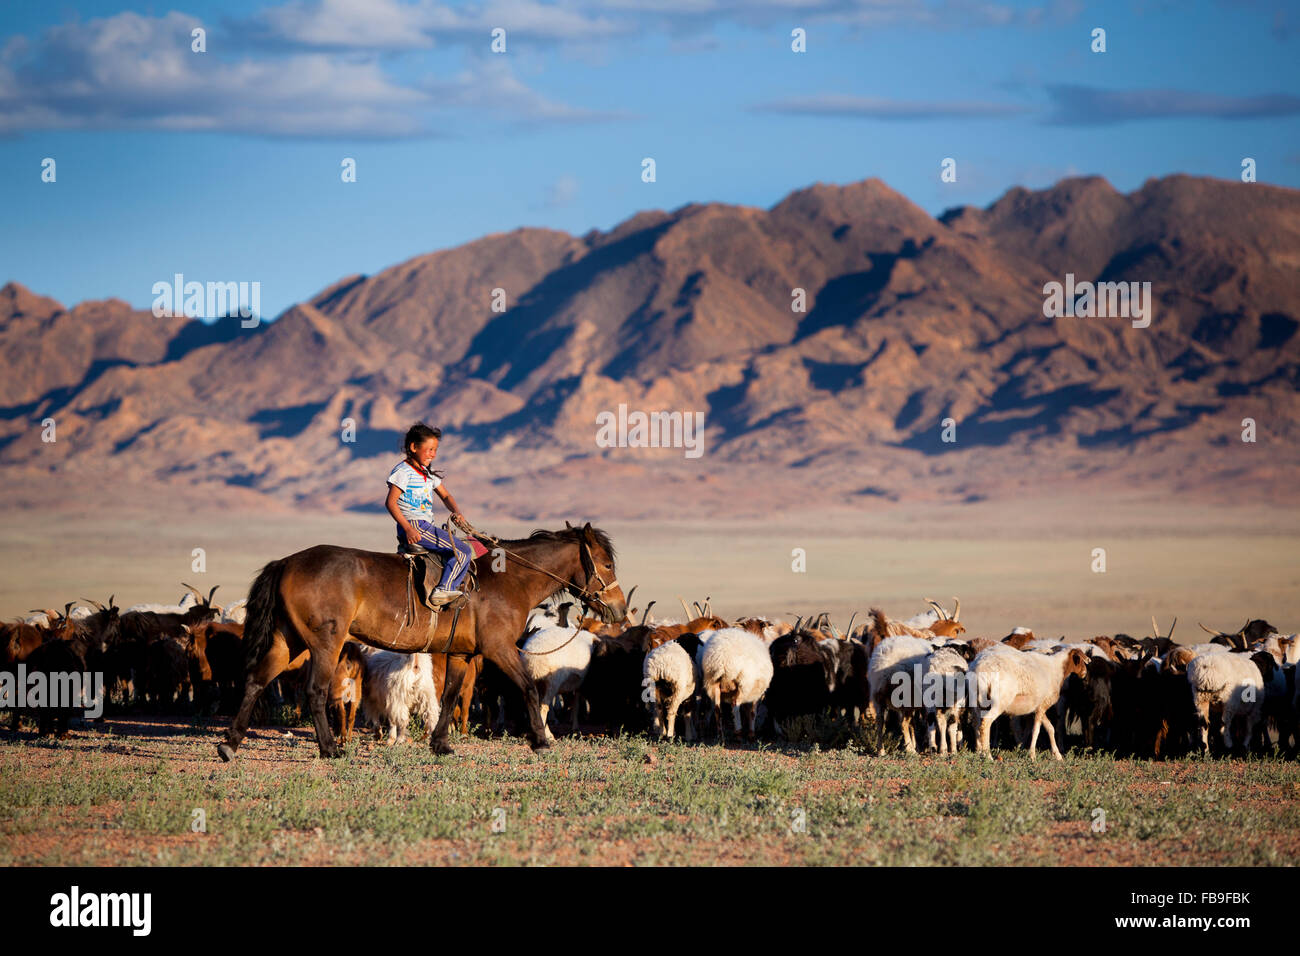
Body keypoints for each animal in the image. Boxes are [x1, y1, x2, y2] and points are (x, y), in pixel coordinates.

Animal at [216, 523, 626, 760]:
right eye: (606, 564)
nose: (620, 610)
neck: (507, 581)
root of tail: (286, 562)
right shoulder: (500, 649)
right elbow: (527, 688)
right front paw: (541, 741)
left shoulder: (461, 655)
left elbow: (448, 697)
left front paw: (440, 744)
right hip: (324, 644)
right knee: (315, 692)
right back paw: (330, 748)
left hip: (288, 641)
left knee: (256, 680)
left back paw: (229, 744)